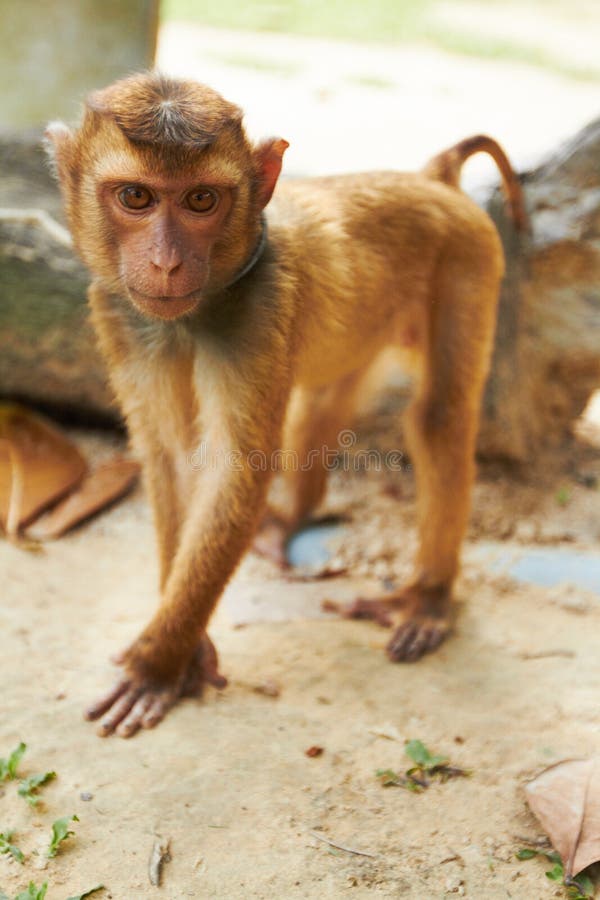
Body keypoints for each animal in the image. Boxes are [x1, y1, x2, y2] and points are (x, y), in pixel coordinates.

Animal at [45, 72, 526, 738]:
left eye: (201, 200)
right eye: (136, 197)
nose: (166, 262)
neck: (203, 306)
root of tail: (432, 180)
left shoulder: (260, 311)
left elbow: (235, 470)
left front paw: (157, 664)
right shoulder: (123, 316)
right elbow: (170, 460)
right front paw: (186, 646)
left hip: (470, 261)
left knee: (439, 416)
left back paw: (426, 599)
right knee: (320, 408)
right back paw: (290, 523)